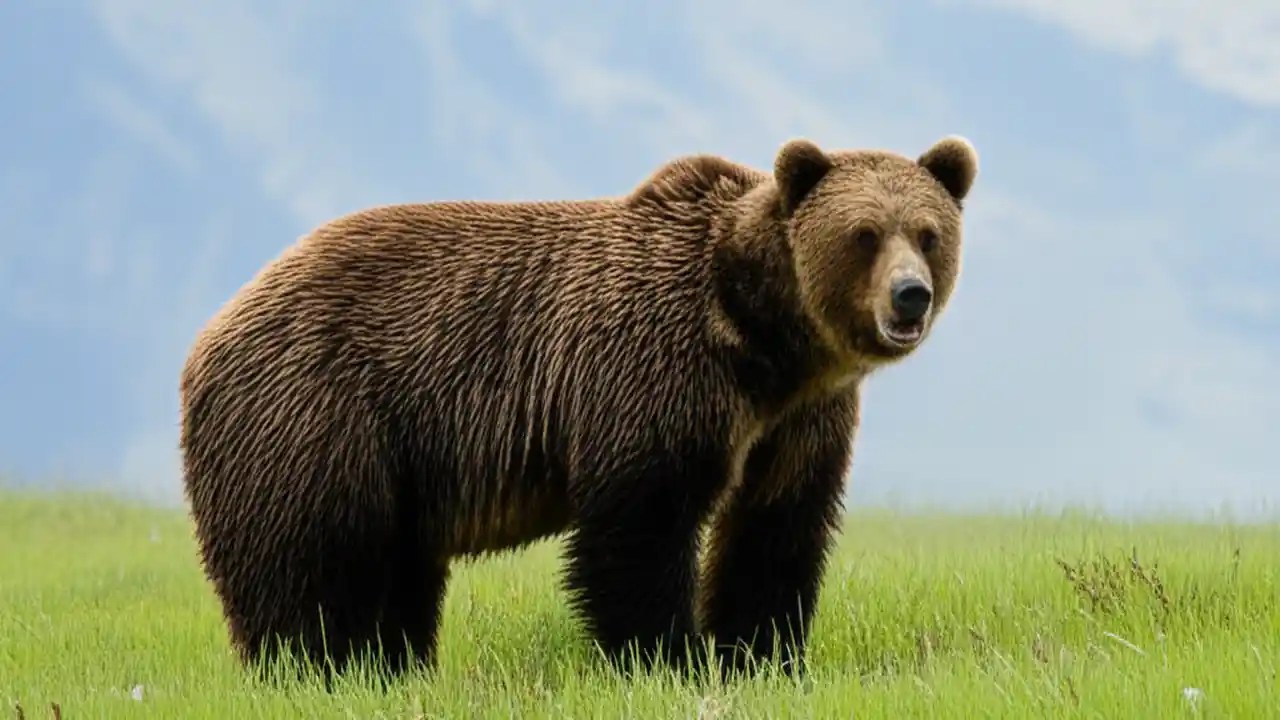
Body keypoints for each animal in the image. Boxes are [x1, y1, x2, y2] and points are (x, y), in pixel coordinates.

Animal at [178, 134, 978, 681]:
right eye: (864, 234)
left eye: (928, 234)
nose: (910, 295)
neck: (762, 339)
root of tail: (212, 329)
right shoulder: (653, 369)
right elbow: (640, 528)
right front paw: (669, 656)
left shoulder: (797, 420)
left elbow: (776, 529)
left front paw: (763, 655)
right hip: (316, 412)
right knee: (307, 559)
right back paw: (310, 667)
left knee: (396, 569)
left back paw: (392, 666)